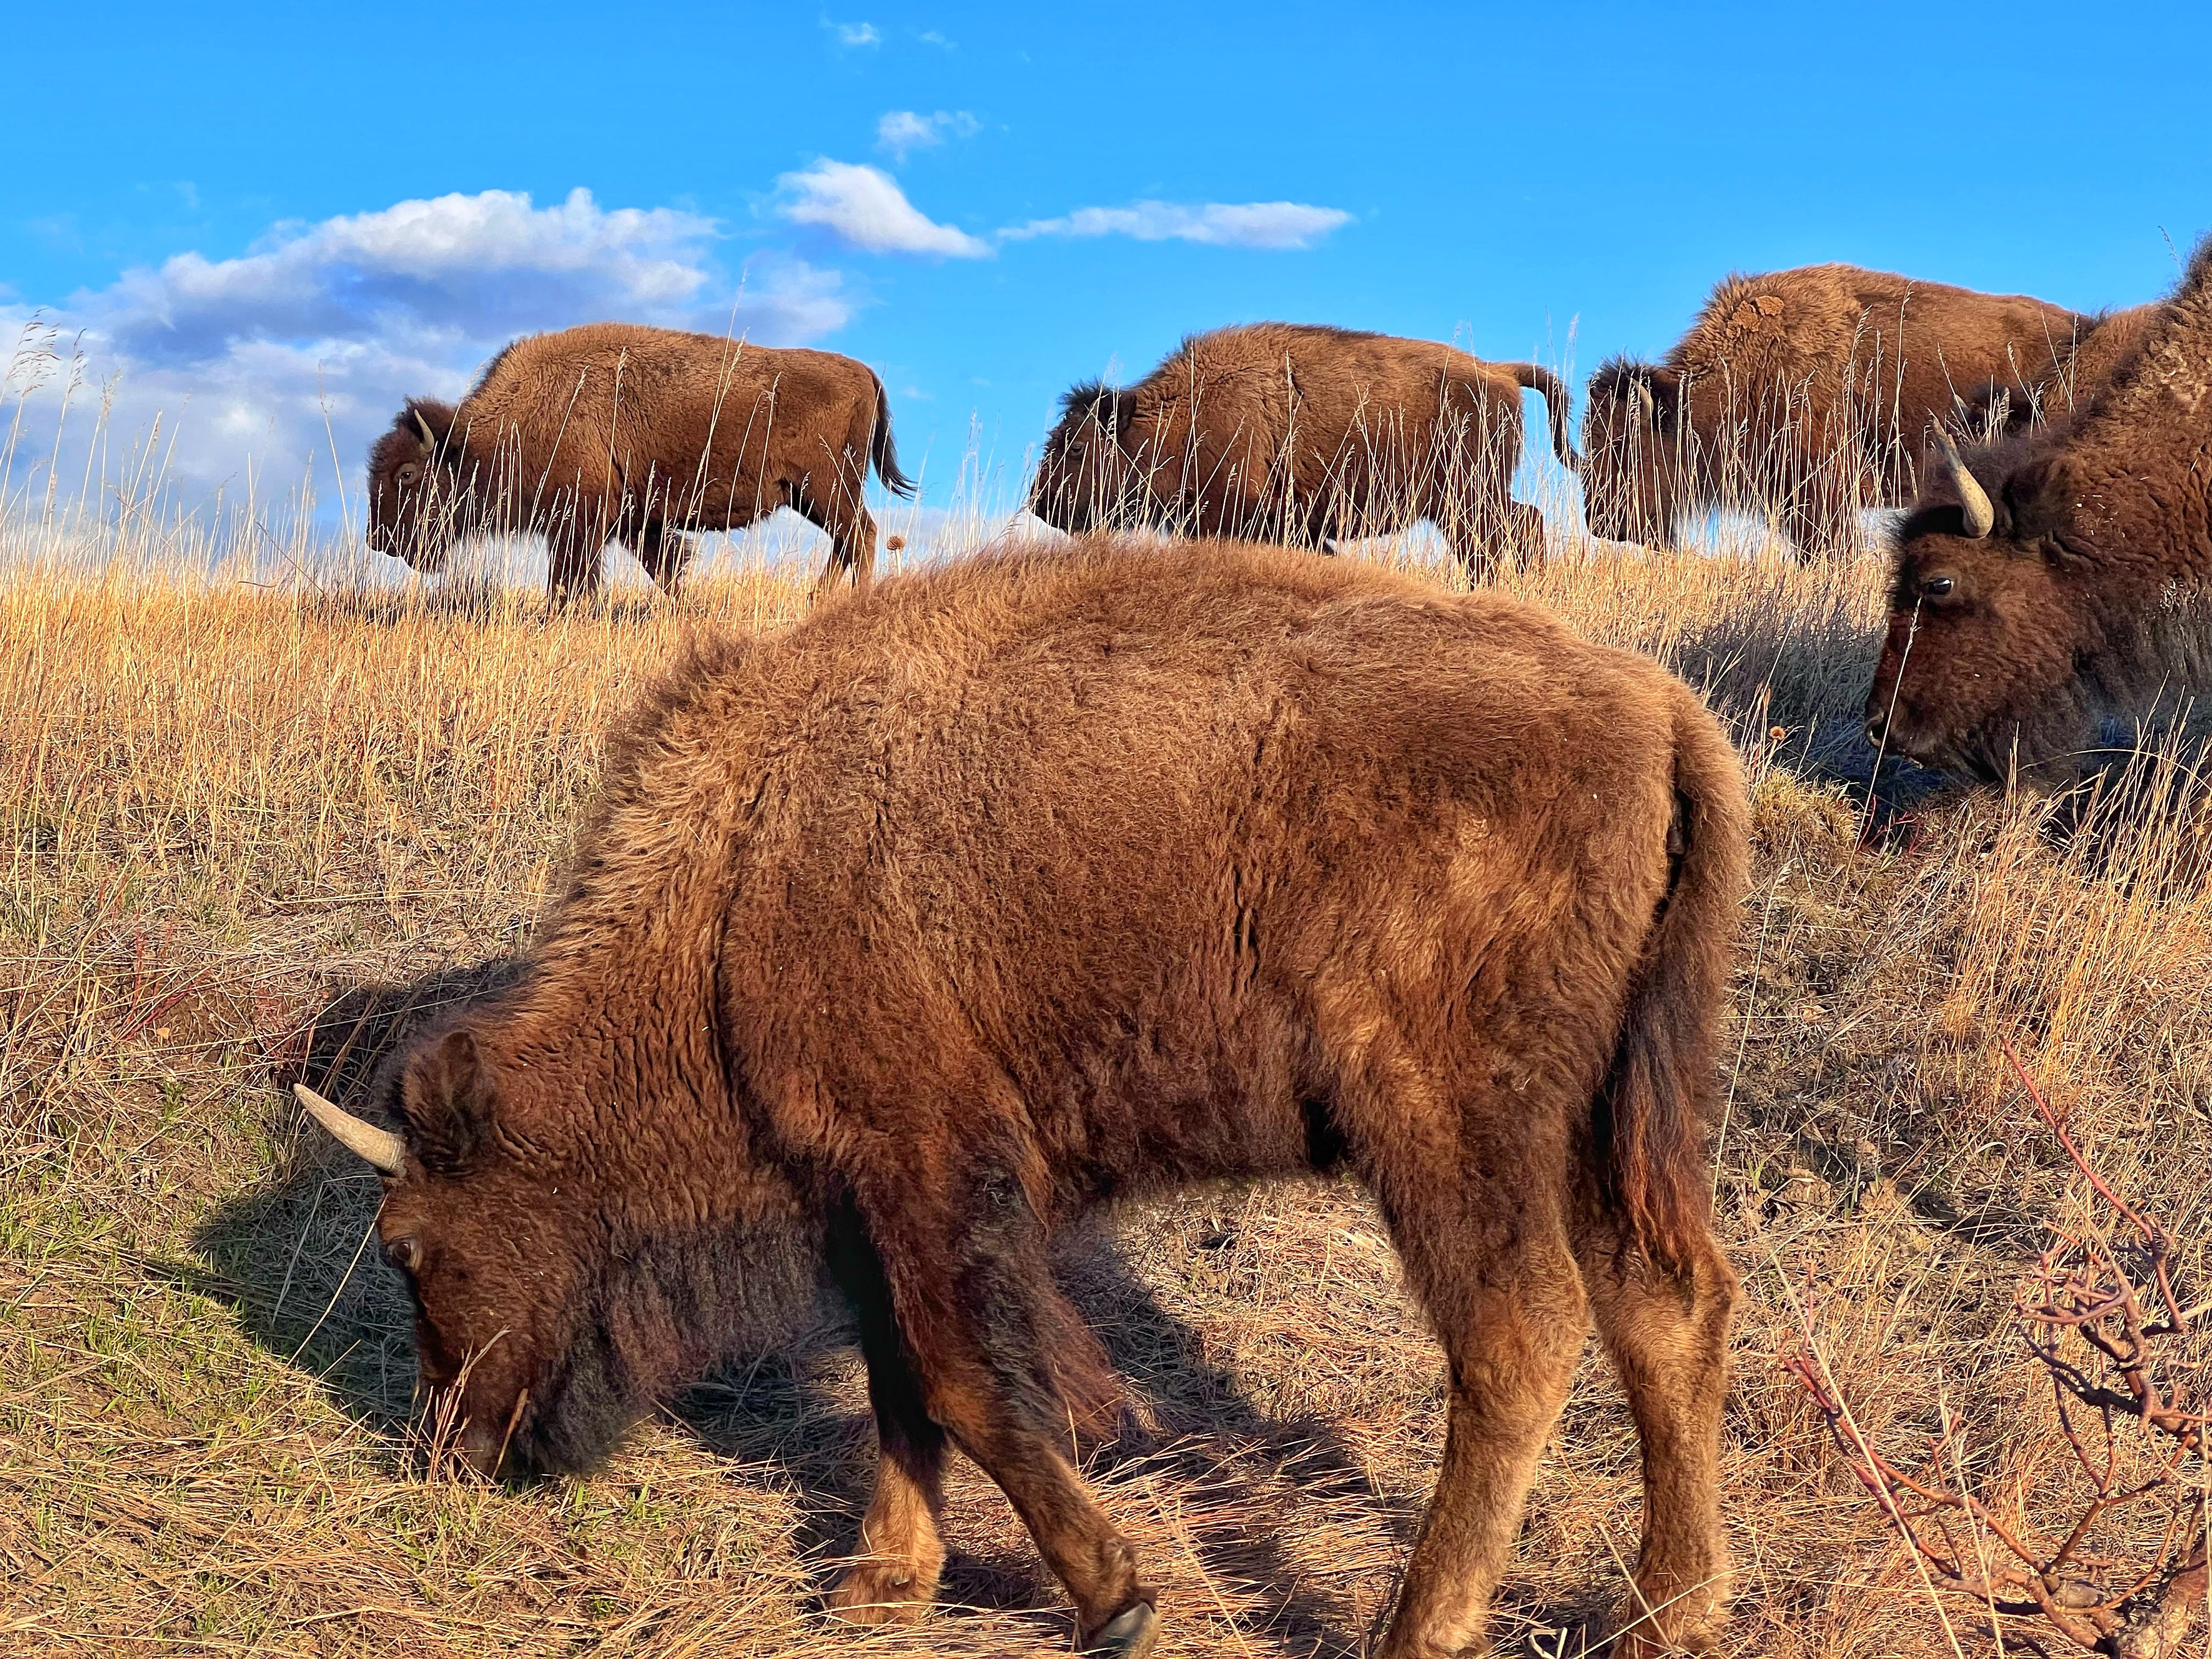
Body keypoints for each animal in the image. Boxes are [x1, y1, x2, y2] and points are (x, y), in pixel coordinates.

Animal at [295, 538, 1747, 1659]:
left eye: (410, 1246)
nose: (450, 1450)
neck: (736, 880)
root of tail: (1658, 708)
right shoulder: (869, 1193)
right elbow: (901, 1381)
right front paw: (883, 1584)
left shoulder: (929, 1165)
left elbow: (966, 1382)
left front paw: (1114, 1600)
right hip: (1611, 1114)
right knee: (1662, 1303)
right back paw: (1663, 1615)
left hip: (1445, 1121)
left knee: (1520, 1331)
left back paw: (1420, 1628)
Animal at [366, 323, 914, 601]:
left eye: (407, 475)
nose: (378, 540)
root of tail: (864, 372)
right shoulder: (633, 521)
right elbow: (666, 569)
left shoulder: (581, 523)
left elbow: (572, 583)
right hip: (806, 495)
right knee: (847, 542)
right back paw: (816, 598)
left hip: (826, 486)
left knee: (860, 536)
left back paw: (849, 601)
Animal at [1029, 324, 1578, 574]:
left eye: (1076, 448)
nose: (1041, 503)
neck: (1182, 416)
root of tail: (1500, 372)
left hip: (1466, 497)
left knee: (1516, 532)